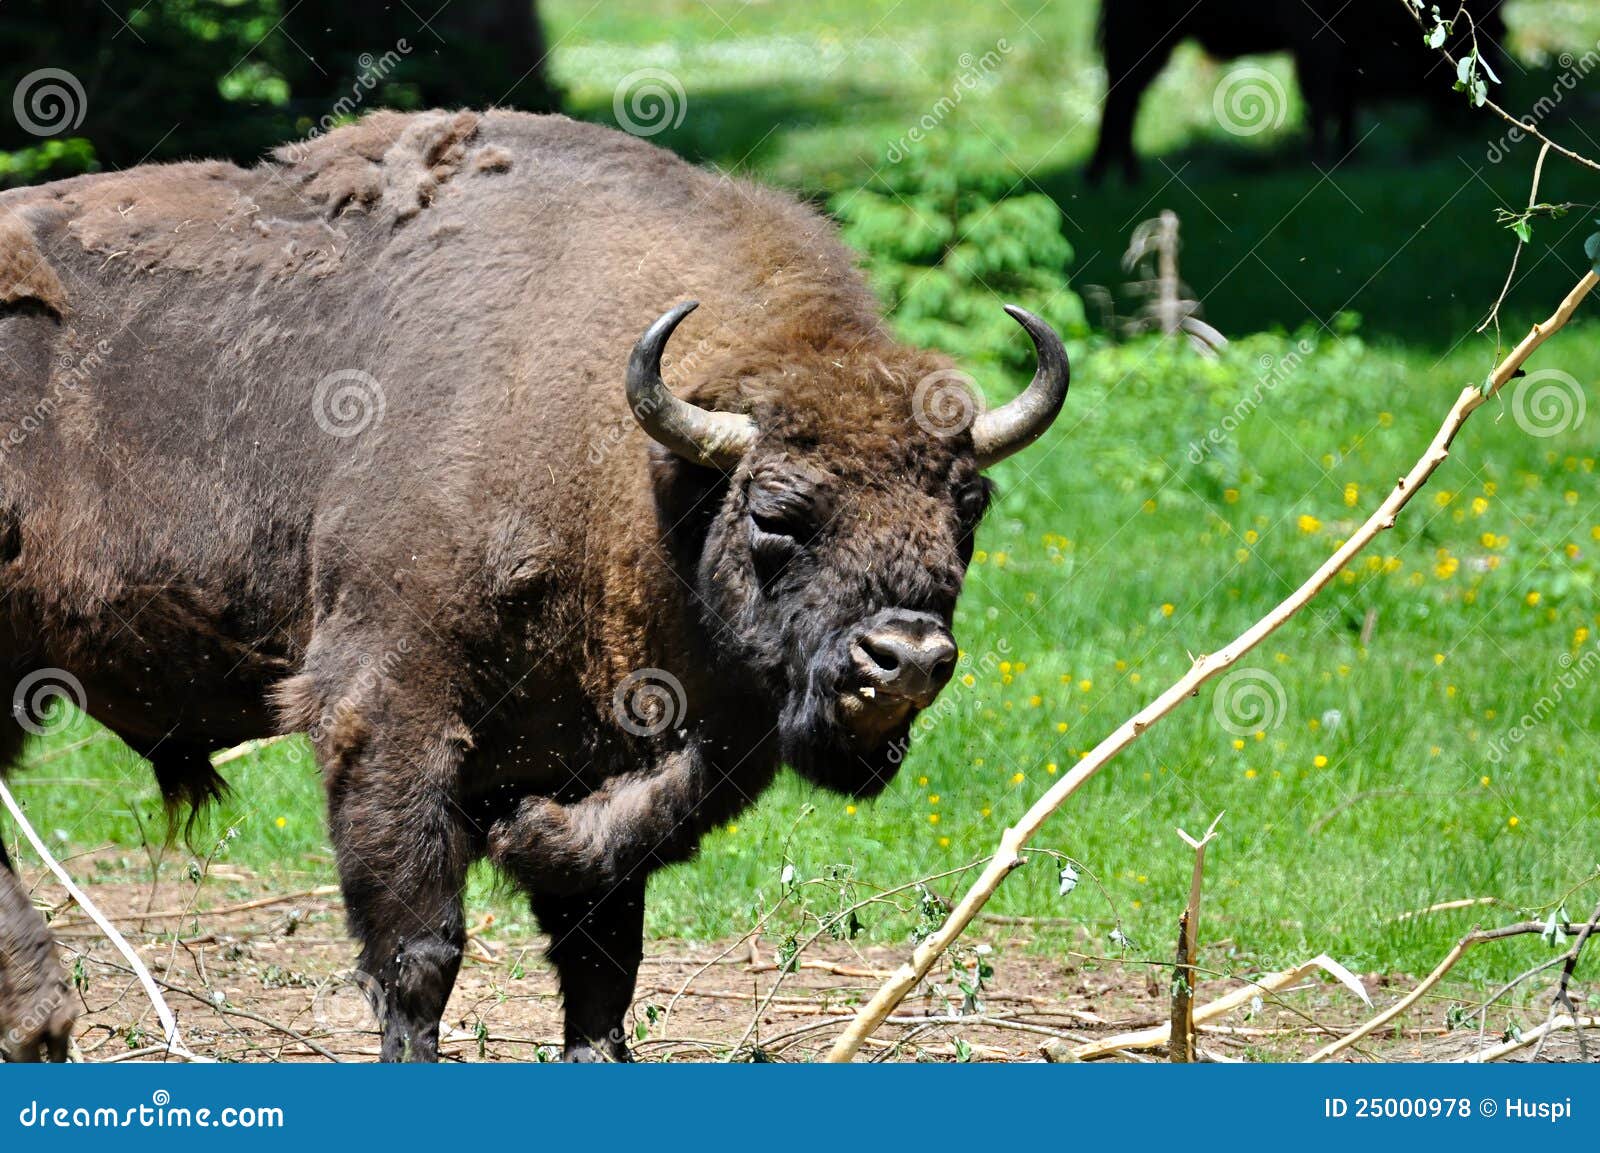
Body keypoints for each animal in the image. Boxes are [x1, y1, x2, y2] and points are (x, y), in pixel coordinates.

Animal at [0, 110, 1070, 1061]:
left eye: (968, 504)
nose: (905, 659)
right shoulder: (388, 710)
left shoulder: (620, 744)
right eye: (775, 511)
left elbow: (603, 953)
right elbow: (419, 951)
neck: (632, 465)